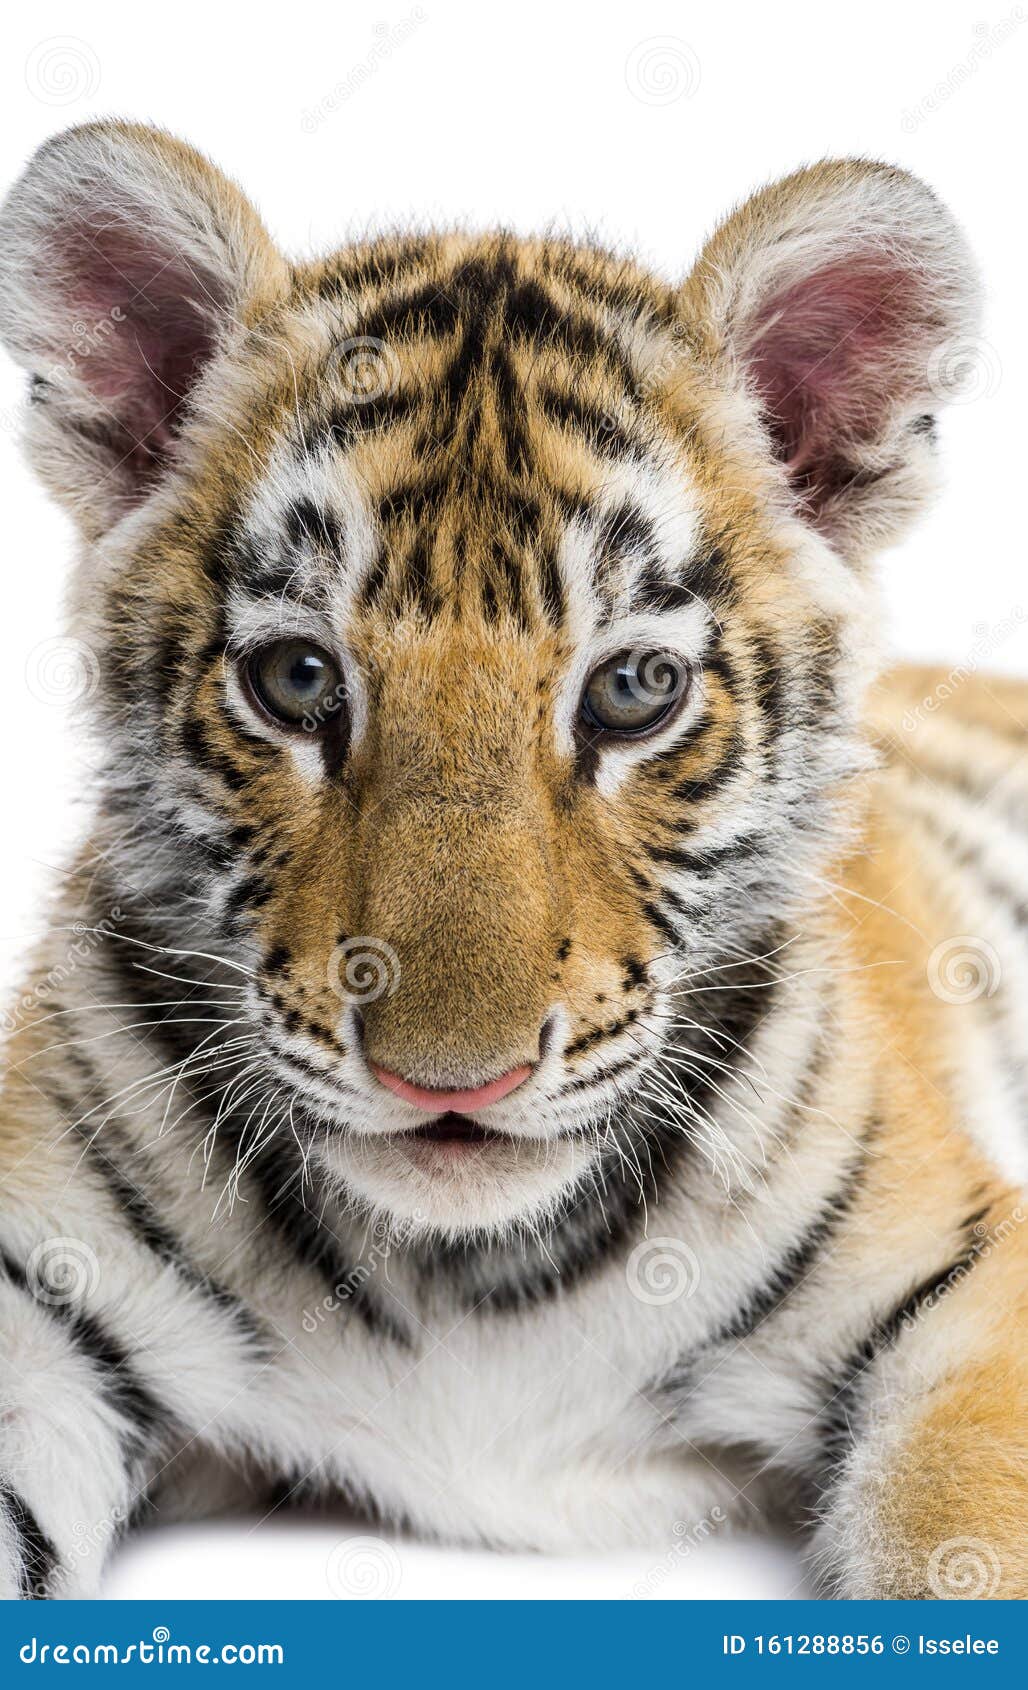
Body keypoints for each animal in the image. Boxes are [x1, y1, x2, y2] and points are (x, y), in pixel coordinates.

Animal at [0, 121, 1024, 1603]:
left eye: (634, 691)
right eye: (298, 681)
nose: (452, 1082)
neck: (466, 1276)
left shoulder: (964, 1290)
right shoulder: (35, 1304)